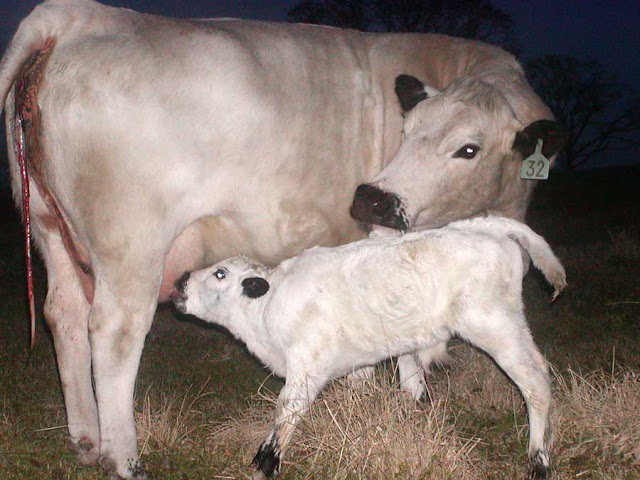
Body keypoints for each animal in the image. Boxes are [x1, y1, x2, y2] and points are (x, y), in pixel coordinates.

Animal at [172, 216, 567, 480]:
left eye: (220, 274)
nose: (180, 280)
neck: (266, 311)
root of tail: (485, 226)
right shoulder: (355, 365)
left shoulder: (306, 367)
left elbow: (286, 411)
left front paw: (266, 462)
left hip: (495, 327)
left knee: (535, 381)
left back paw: (538, 459)